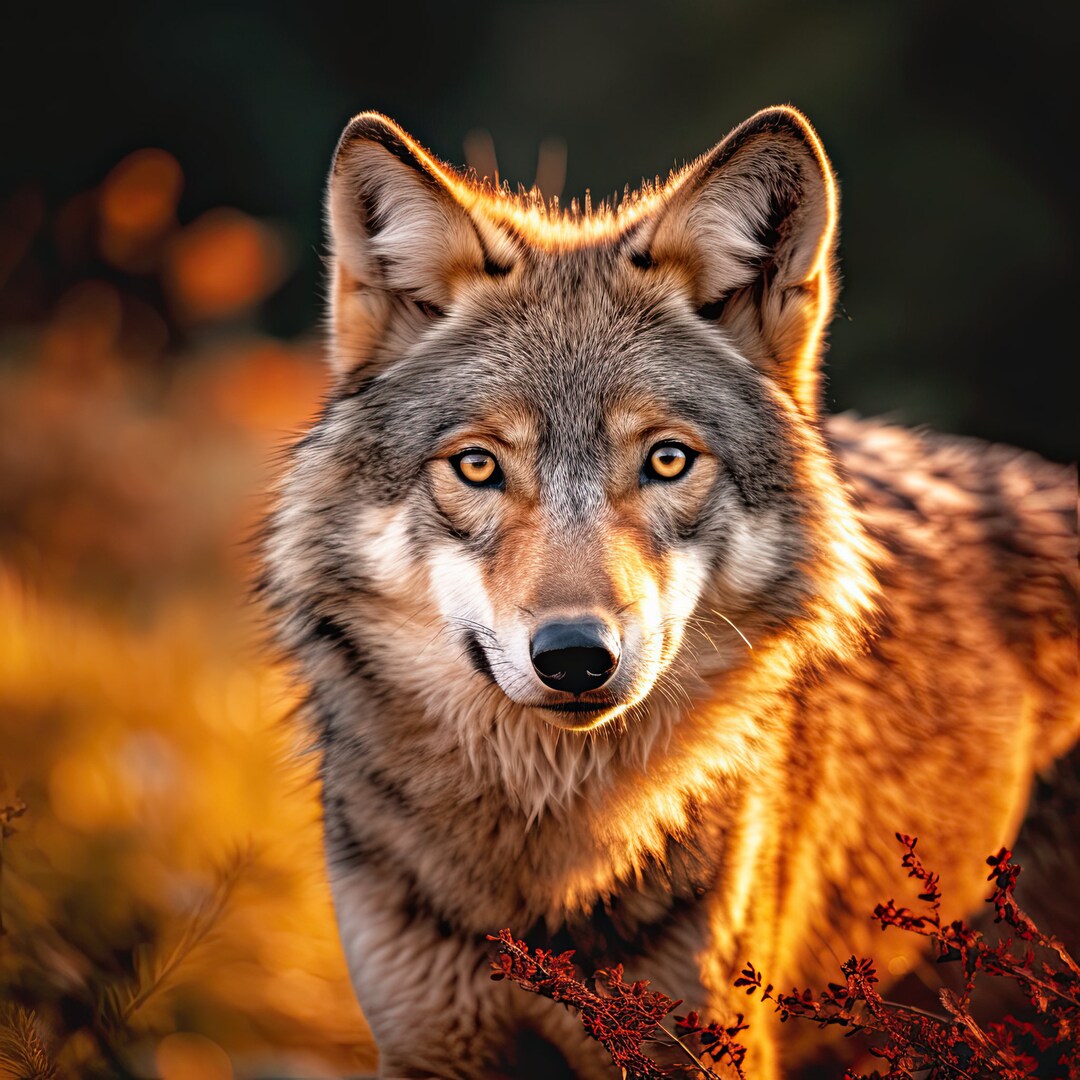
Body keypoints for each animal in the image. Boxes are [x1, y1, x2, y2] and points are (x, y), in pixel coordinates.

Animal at [261, 106, 1078, 1078]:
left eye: (667, 459)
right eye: (478, 466)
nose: (577, 657)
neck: (549, 856)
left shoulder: (706, 1046)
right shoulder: (428, 1047)